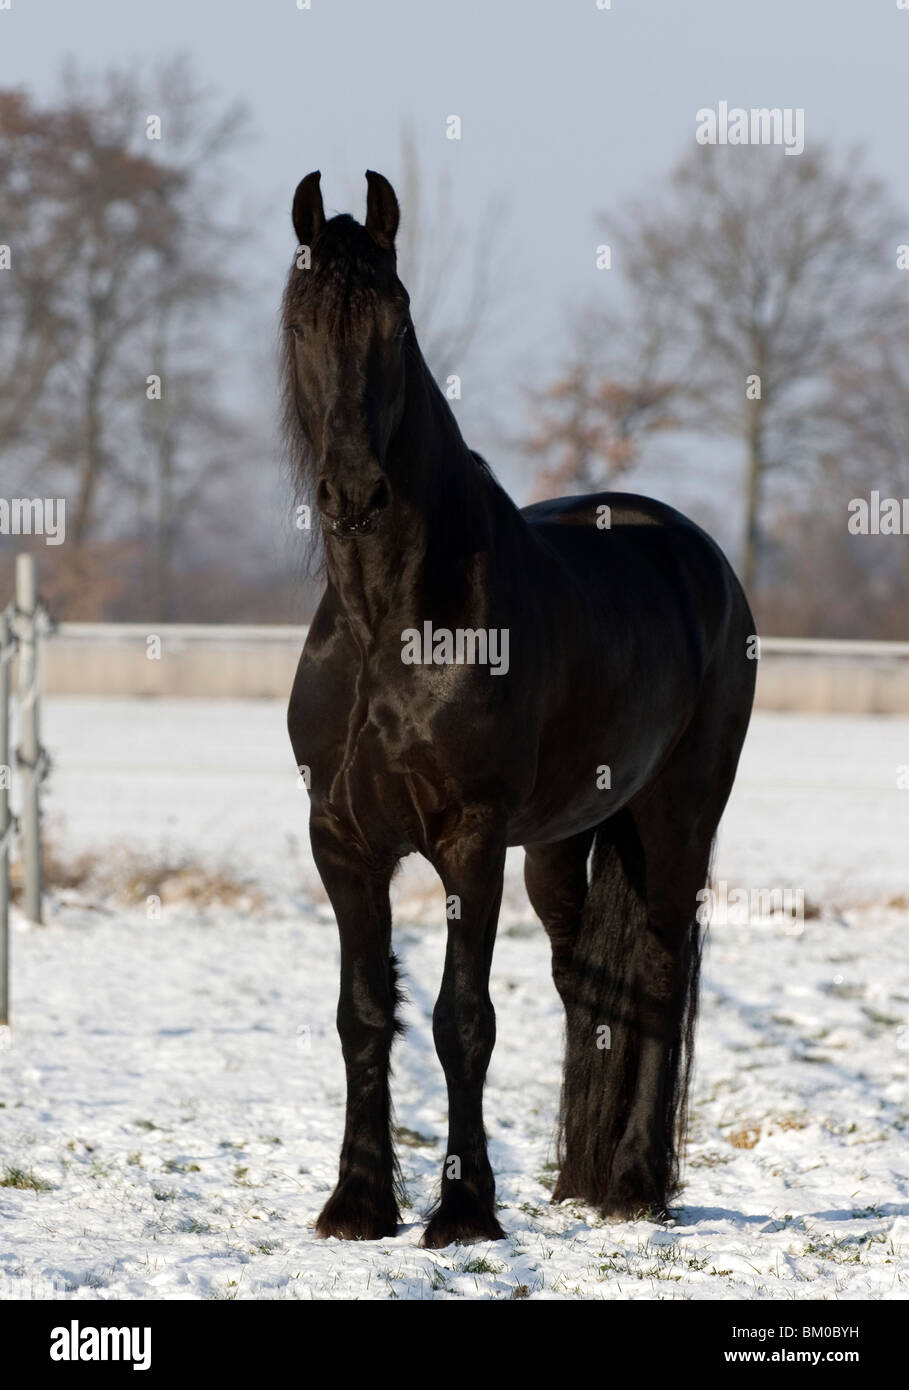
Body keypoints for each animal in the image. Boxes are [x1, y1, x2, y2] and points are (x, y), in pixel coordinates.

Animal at [282, 170, 756, 1248]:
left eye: (397, 319)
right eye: (299, 321)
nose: (354, 491)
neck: (390, 624)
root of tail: (700, 557)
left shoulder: (470, 837)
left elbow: (462, 1019)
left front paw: (463, 1210)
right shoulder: (341, 840)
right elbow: (363, 1013)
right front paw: (358, 1203)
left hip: (675, 822)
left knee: (657, 980)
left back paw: (634, 1185)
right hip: (563, 841)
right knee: (590, 984)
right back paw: (579, 1180)